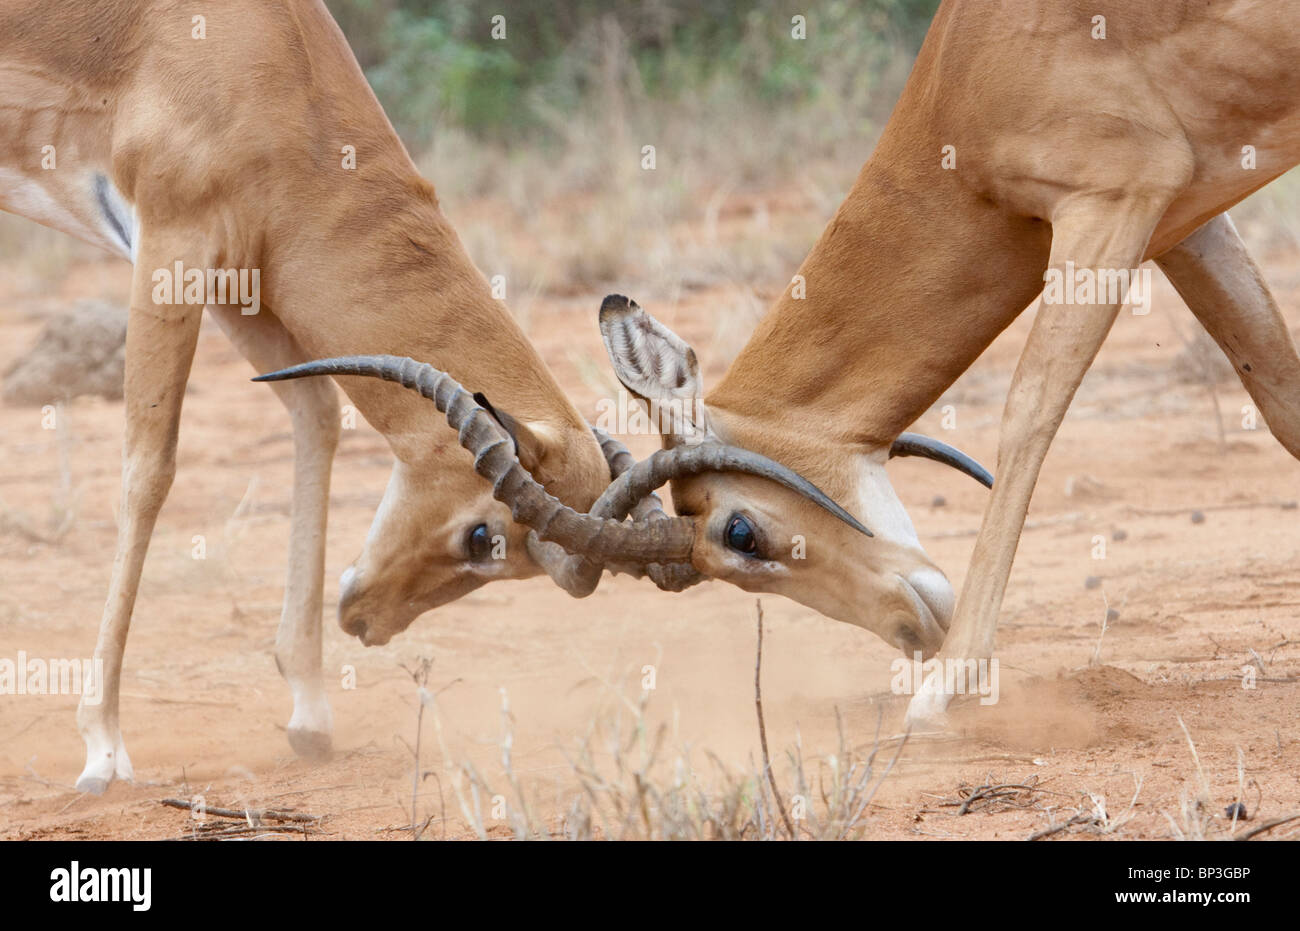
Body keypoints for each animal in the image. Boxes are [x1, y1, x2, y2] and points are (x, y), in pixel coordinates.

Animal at [305, 0, 1300, 727]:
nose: (916, 632)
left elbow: (1026, 417)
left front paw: (943, 695)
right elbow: (1276, 384)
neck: (973, 63)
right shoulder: (1185, 215)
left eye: (740, 531)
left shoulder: (1110, 203)